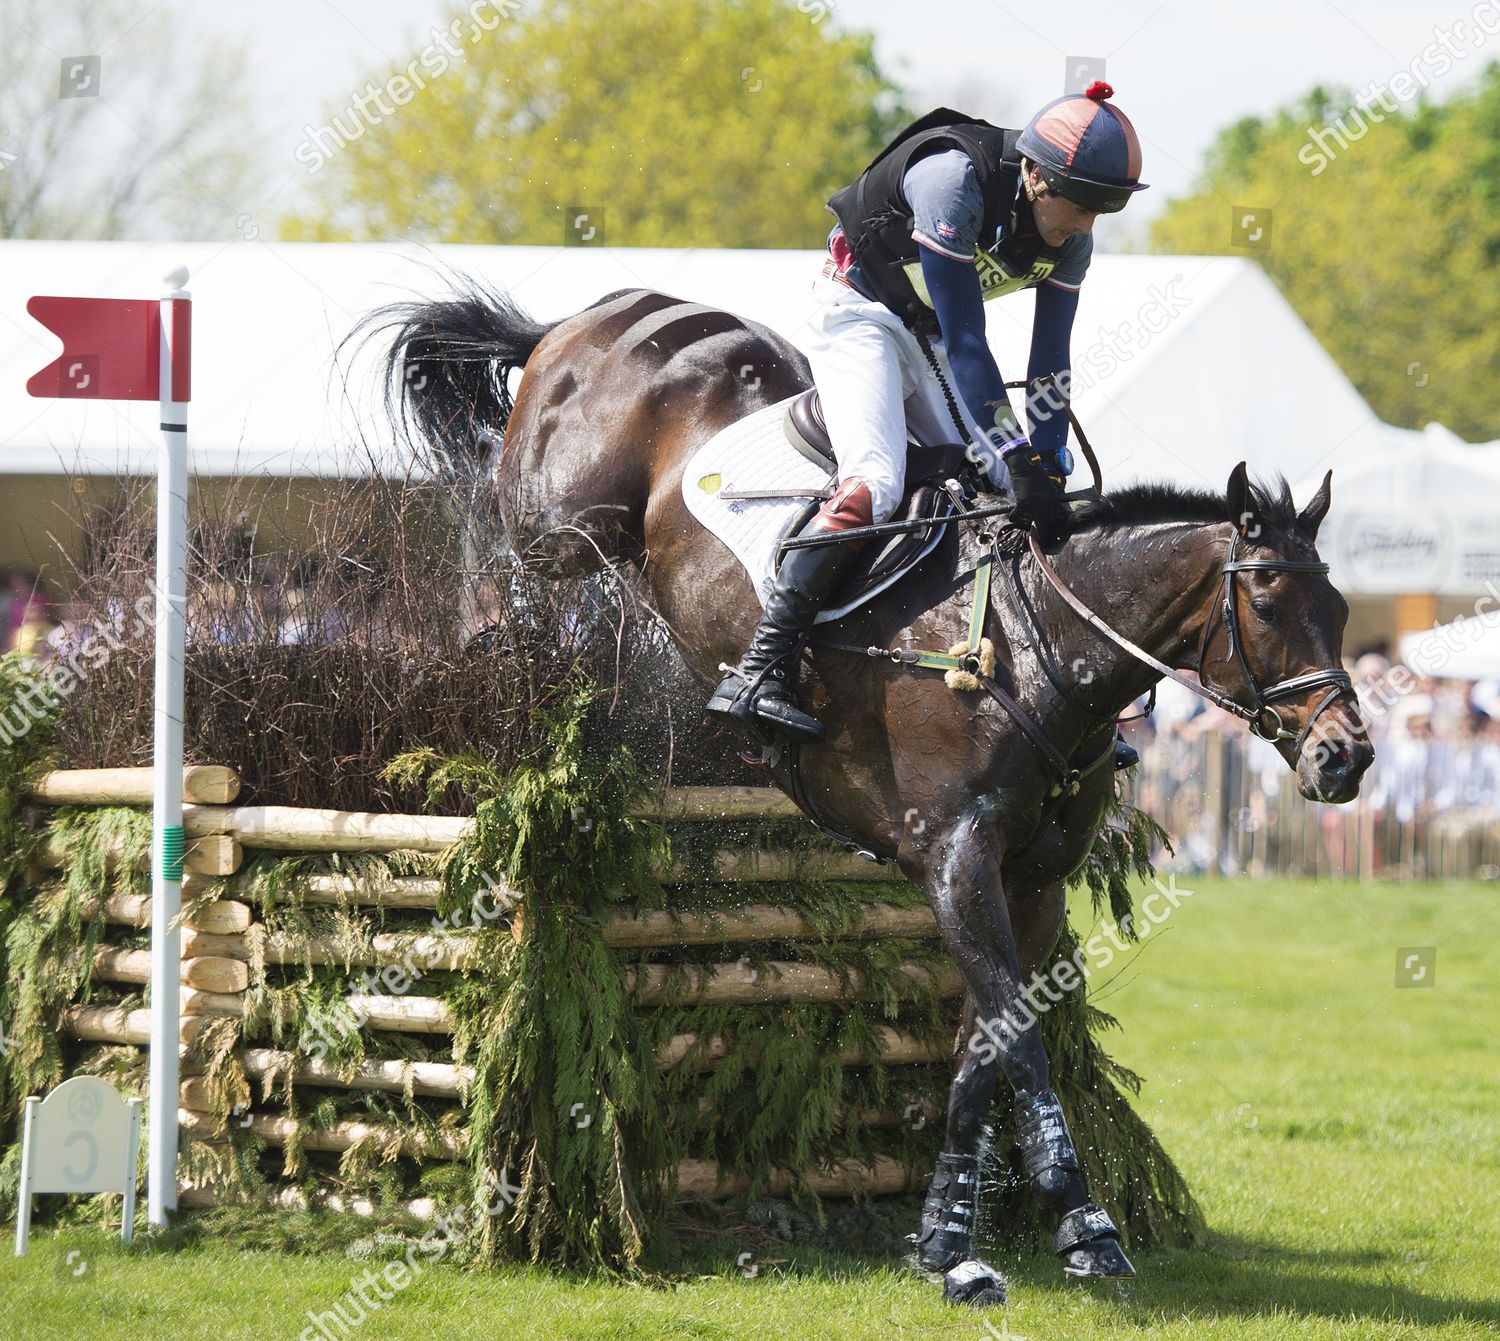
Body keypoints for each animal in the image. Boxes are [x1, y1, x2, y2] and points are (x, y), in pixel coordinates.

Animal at [370, 280, 1374, 1305]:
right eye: (1266, 604)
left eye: (1337, 608)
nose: (1347, 756)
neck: (1034, 640)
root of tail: (600, 309)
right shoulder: (955, 857)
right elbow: (1018, 1039)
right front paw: (1083, 1223)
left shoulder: (1031, 883)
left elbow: (979, 1054)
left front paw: (947, 1242)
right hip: (560, 517)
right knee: (506, 529)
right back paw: (501, 634)